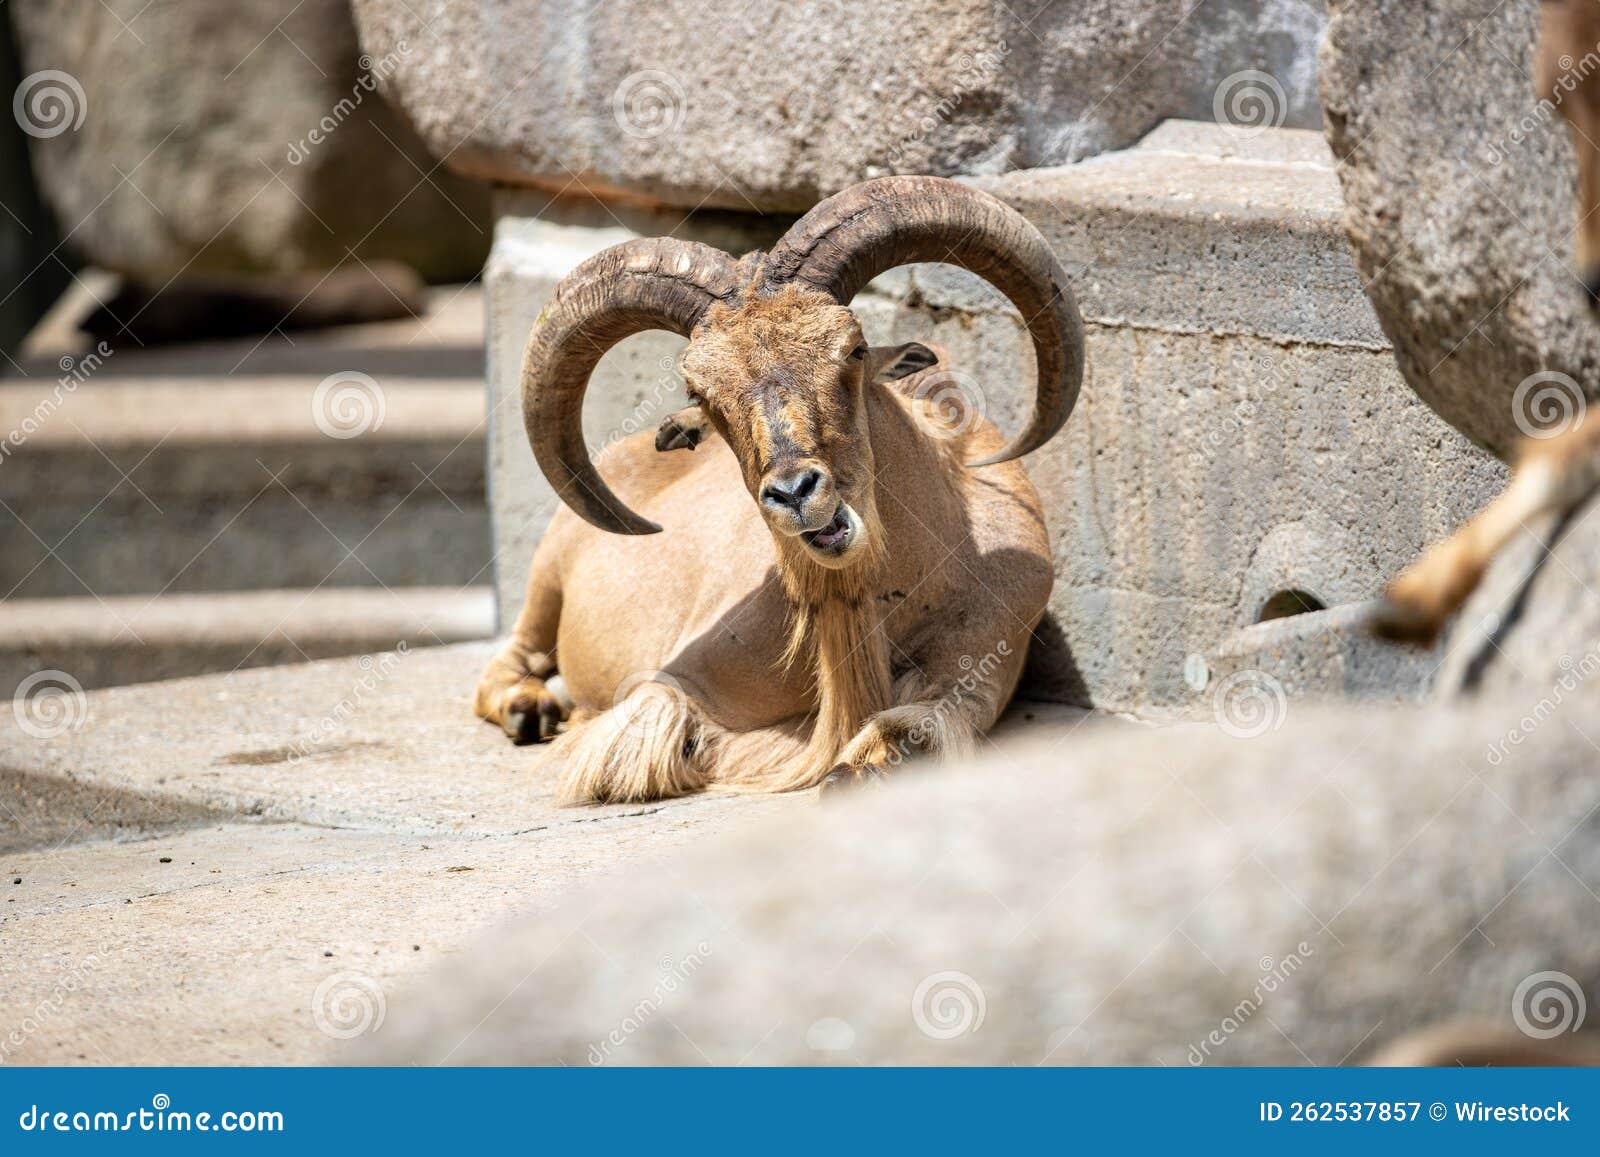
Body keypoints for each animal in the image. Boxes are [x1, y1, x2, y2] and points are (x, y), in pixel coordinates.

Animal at [474, 176, 1083, 804]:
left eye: (854, 349)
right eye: (701, 394)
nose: (795, 493)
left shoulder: (977, 668)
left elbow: (919, 727)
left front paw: (857, 768)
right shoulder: (670, 681)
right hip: (547, 575)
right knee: (511, 659)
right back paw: (530, 708)